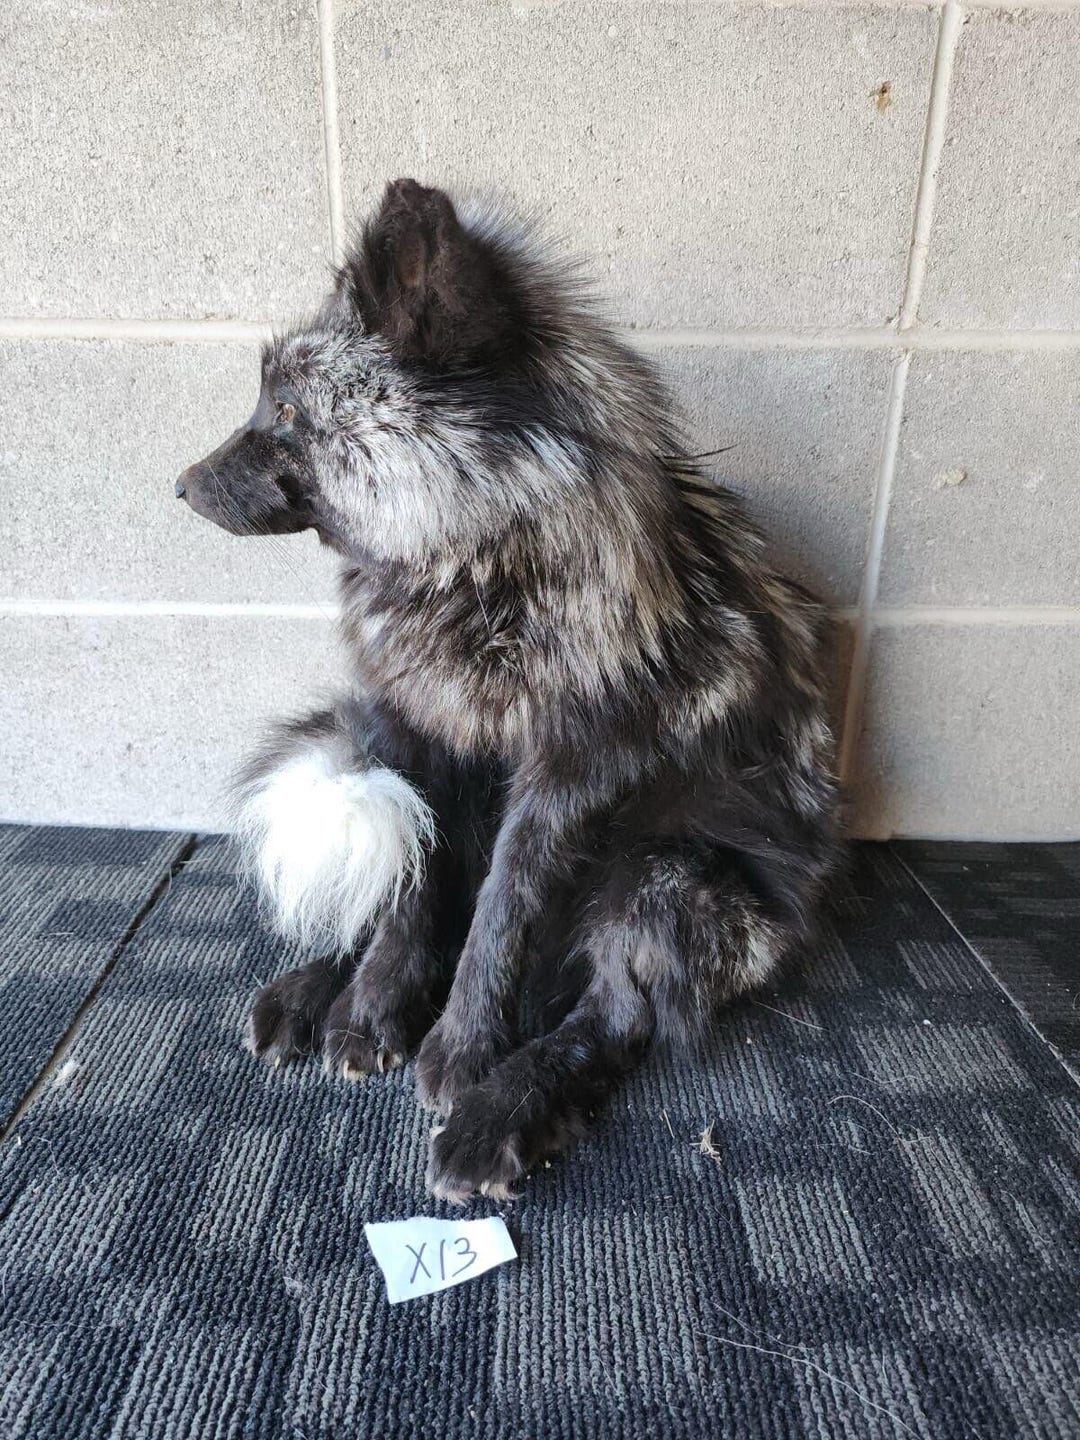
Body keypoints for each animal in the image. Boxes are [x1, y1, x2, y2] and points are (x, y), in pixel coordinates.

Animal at [176, 178, 841, 1201]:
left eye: (286, 406)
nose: (179, 486)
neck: (479, 568)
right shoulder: (412, 732)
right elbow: (412, 888)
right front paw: (371, 1007)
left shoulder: (564, 774)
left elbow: (498, 918)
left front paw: (460, 1050)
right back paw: (315, 986)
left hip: (667, 881)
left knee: (613, 1018)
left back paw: (501, 1116)